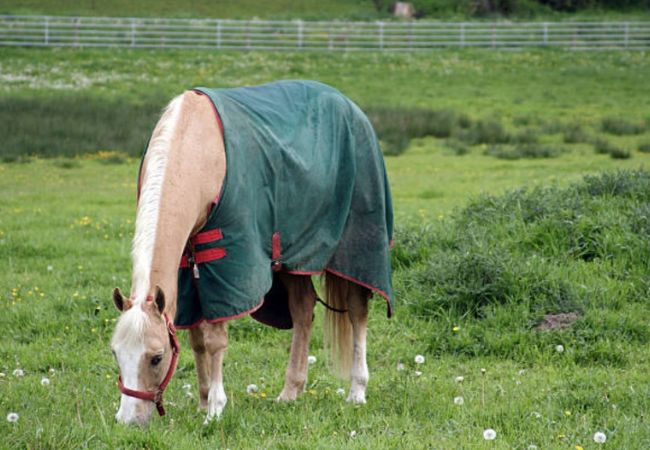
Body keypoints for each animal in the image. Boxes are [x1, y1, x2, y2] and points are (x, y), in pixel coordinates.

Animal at [110, 81, 393, 426]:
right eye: (116, 353)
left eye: (156, 357)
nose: (128, 420)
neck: (197, 150)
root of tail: (350, 106)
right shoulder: (187, 265)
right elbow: (196, 338)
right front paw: (203, 401)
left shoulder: (227, 261)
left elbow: (215, 340)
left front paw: (215, 409)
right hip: (293, 260)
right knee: (303, 309)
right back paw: (290, 391)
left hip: (354, 250)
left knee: (356, 310)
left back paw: (357, 390)